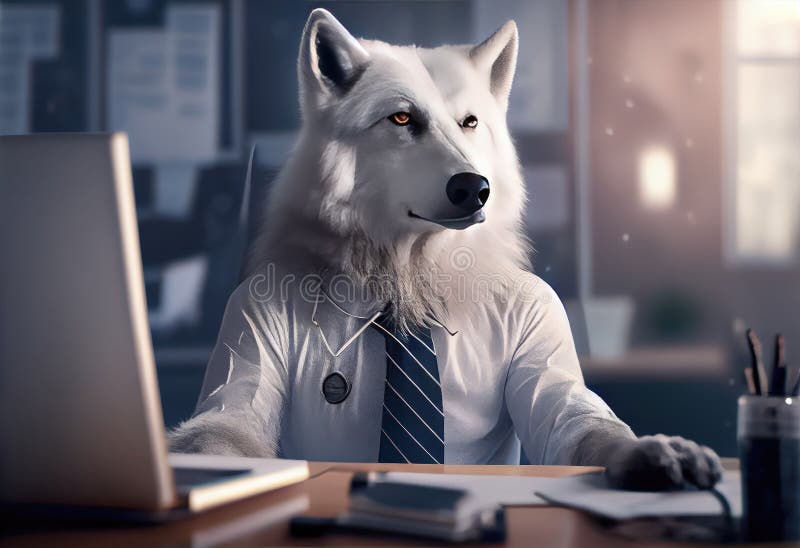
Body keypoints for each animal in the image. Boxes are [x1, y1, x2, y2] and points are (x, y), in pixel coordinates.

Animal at [170, 8, 721, 490]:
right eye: (401, 119)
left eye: (469, 123)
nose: (475, 188)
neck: (405, 288)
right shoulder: (246, 327)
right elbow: (224, 428)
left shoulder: (547, 327)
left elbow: (579, 423)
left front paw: (649, 452)